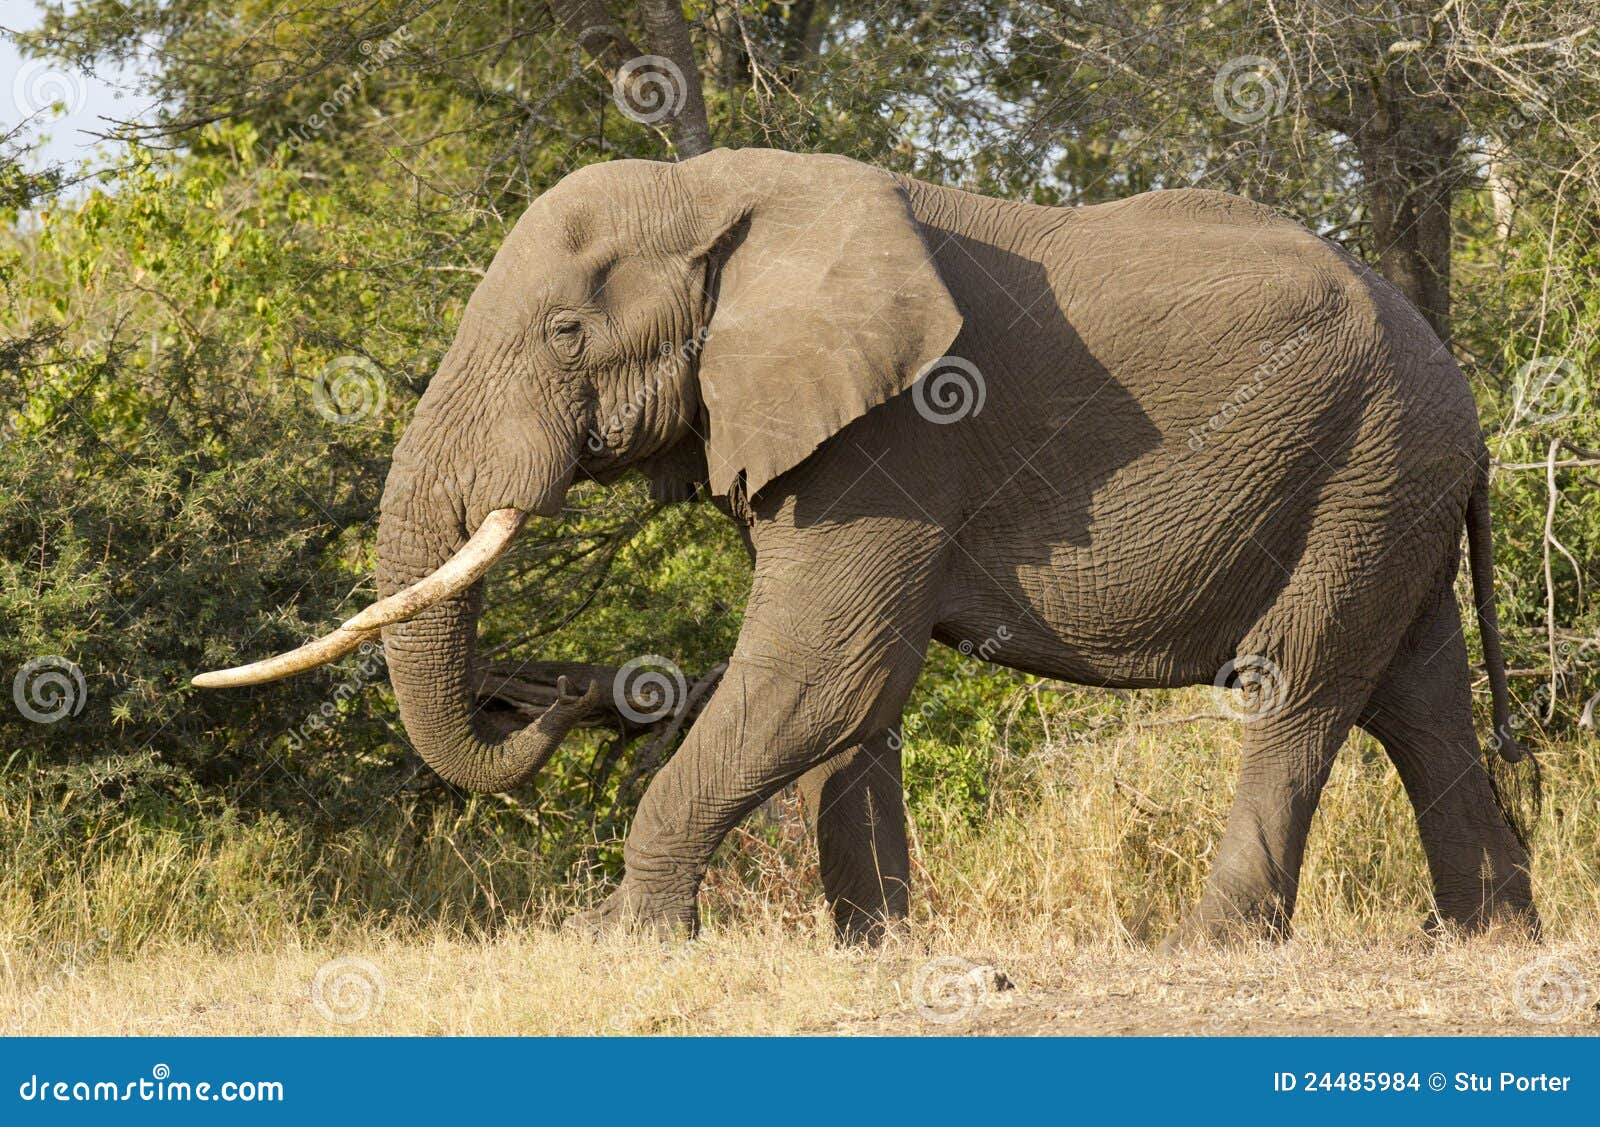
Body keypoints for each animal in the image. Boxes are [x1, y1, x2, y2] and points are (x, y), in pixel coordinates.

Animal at [196, 146, 1537, 946]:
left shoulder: (901, 427)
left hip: (1368, 464)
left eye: (568, 331)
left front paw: (630, 941)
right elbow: (854, 698)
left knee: (1297, 687)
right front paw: (878, 945)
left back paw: (1215, 949)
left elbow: (822, 667)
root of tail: (1465, 398)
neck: (718, 196)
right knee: (1418, 699)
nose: (542, 693)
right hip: (1389, 485)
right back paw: (1492, 940)